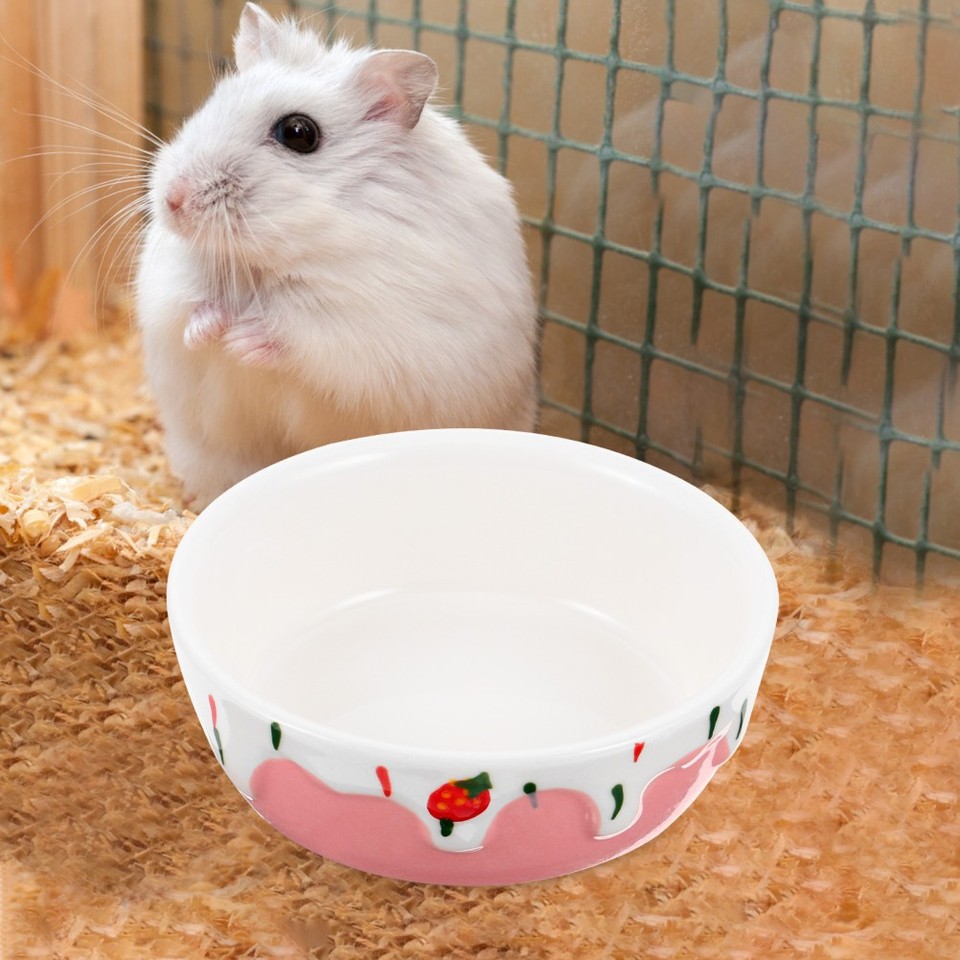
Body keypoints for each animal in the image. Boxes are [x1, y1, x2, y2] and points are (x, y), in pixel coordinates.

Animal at [135, 2, 538, 509]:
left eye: (299, 133)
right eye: (213, 103)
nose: (172, 200)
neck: (267, 261)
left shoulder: (362, 324)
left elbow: (301, 330)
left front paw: (240, 341)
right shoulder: (170, 284)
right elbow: (188, 307)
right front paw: (211, 333)